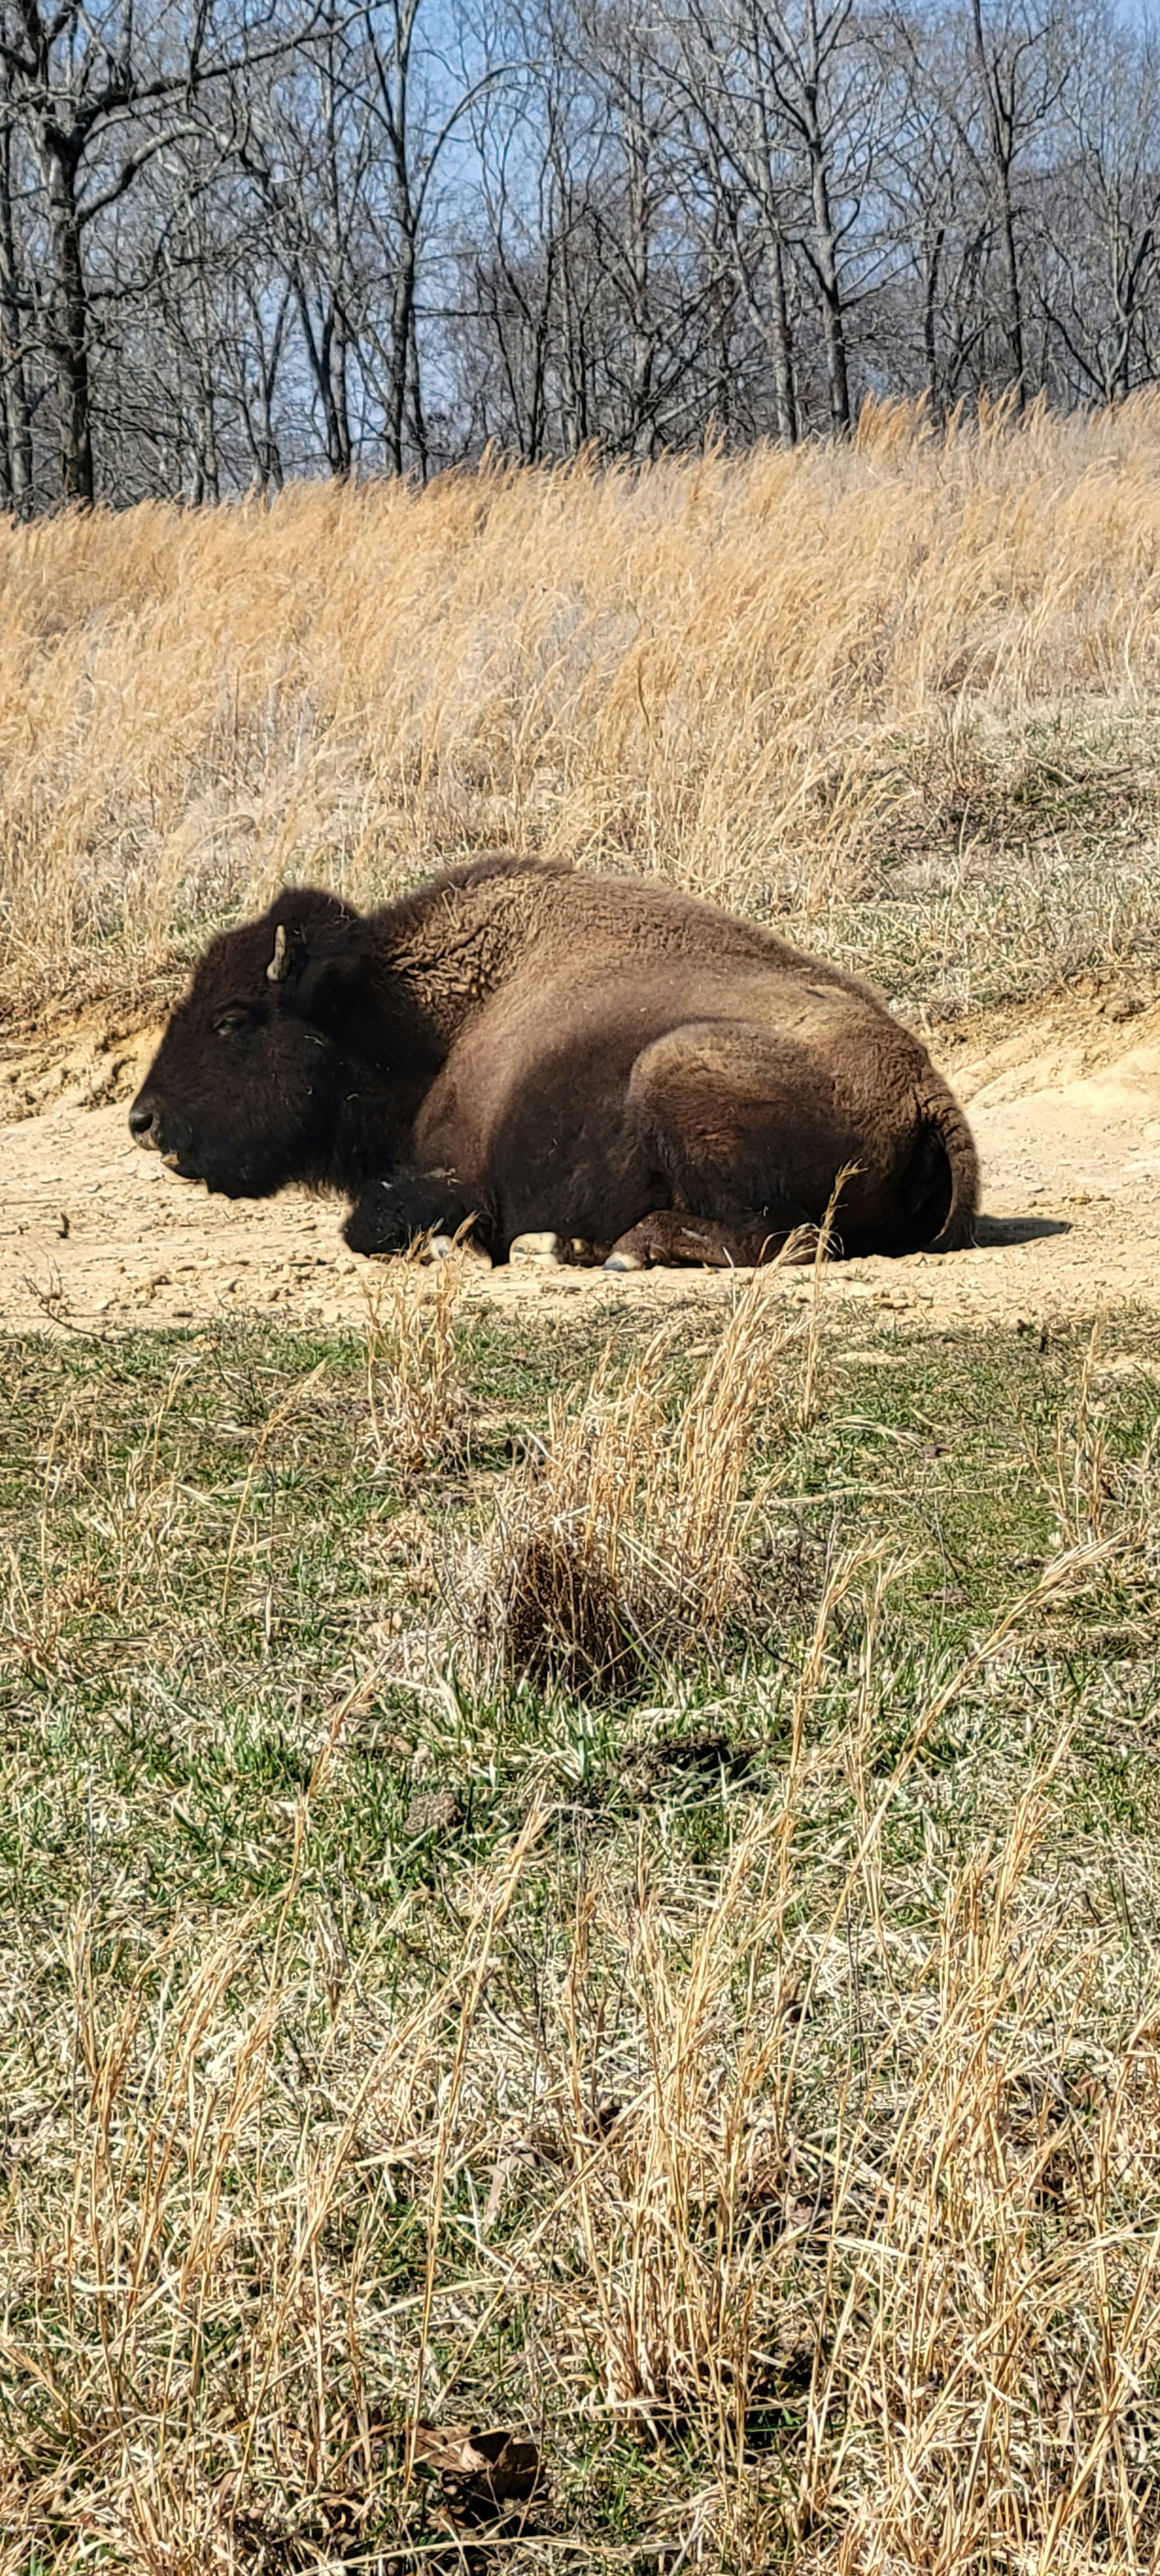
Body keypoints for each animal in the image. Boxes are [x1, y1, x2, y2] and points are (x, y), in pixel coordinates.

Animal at [129, 855, 978, 1268]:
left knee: (789, 1241)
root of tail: (924, 1089)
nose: (144, 1120)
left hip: (669, 1067)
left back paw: (614, 1250)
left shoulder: (455, 1180)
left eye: (233, 1020)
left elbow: (373, 1223)